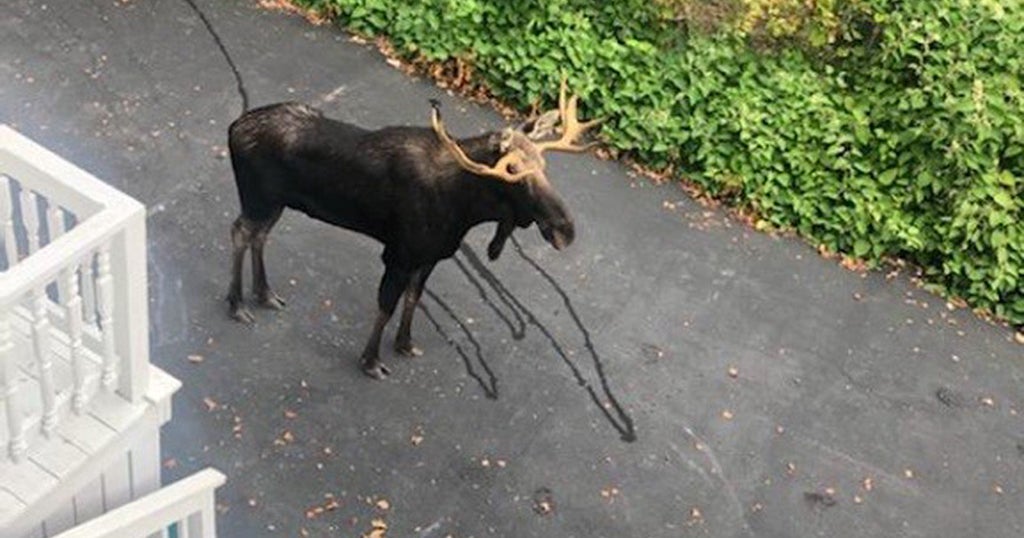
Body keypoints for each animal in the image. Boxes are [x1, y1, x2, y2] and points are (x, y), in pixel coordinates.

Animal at [225, 80, 600, 379]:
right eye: (514, 176)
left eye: (544, 165)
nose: (566, 230)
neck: (464, 210)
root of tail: (232, 128)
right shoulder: (399, 253)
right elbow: (386, 305)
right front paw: (371, 361)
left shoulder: (430, 255)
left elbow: (413, 298)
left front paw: (405, 344)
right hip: (258, 197)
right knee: (240, 231)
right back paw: (237, 305)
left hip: (276, 202)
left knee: (259, 235)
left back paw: (264, 294)